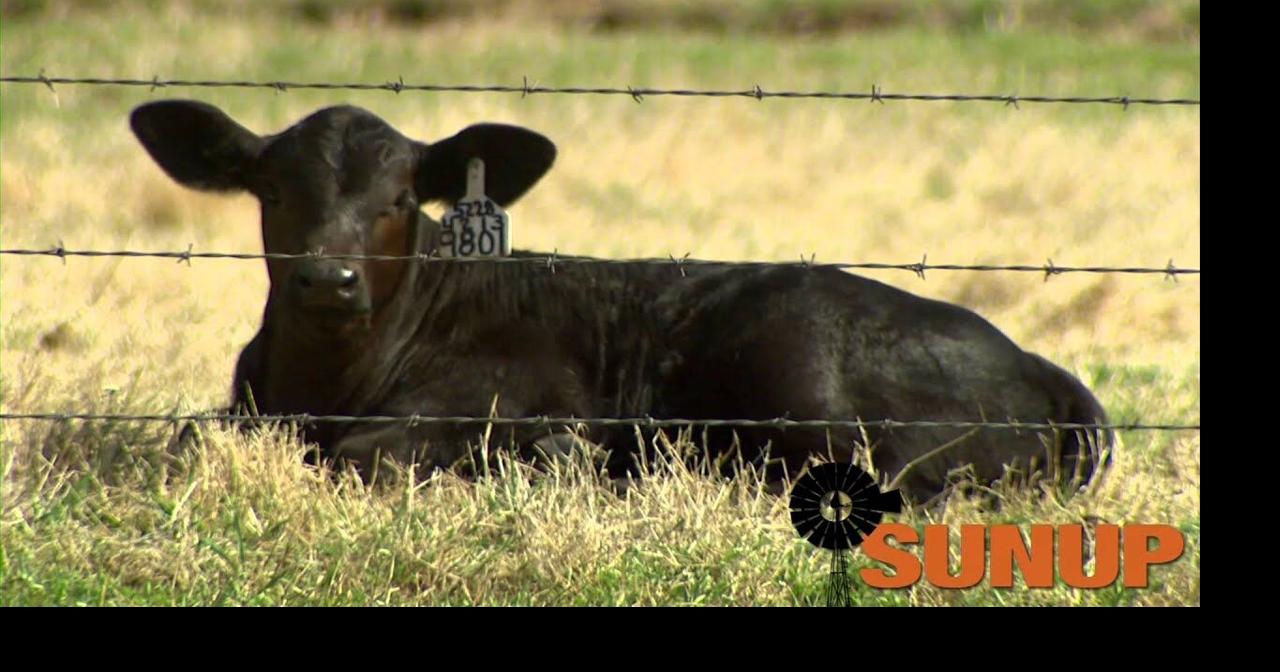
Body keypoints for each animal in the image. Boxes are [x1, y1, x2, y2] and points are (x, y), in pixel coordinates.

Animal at [130, 99, 1111, 504]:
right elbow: (194, 439)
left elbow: (366, 454)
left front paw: (553, 459)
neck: (325, 387)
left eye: (402, 199)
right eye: (271, 190)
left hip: (803, 374)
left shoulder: (507, 397)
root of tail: (1030, 358)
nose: (327, 279)